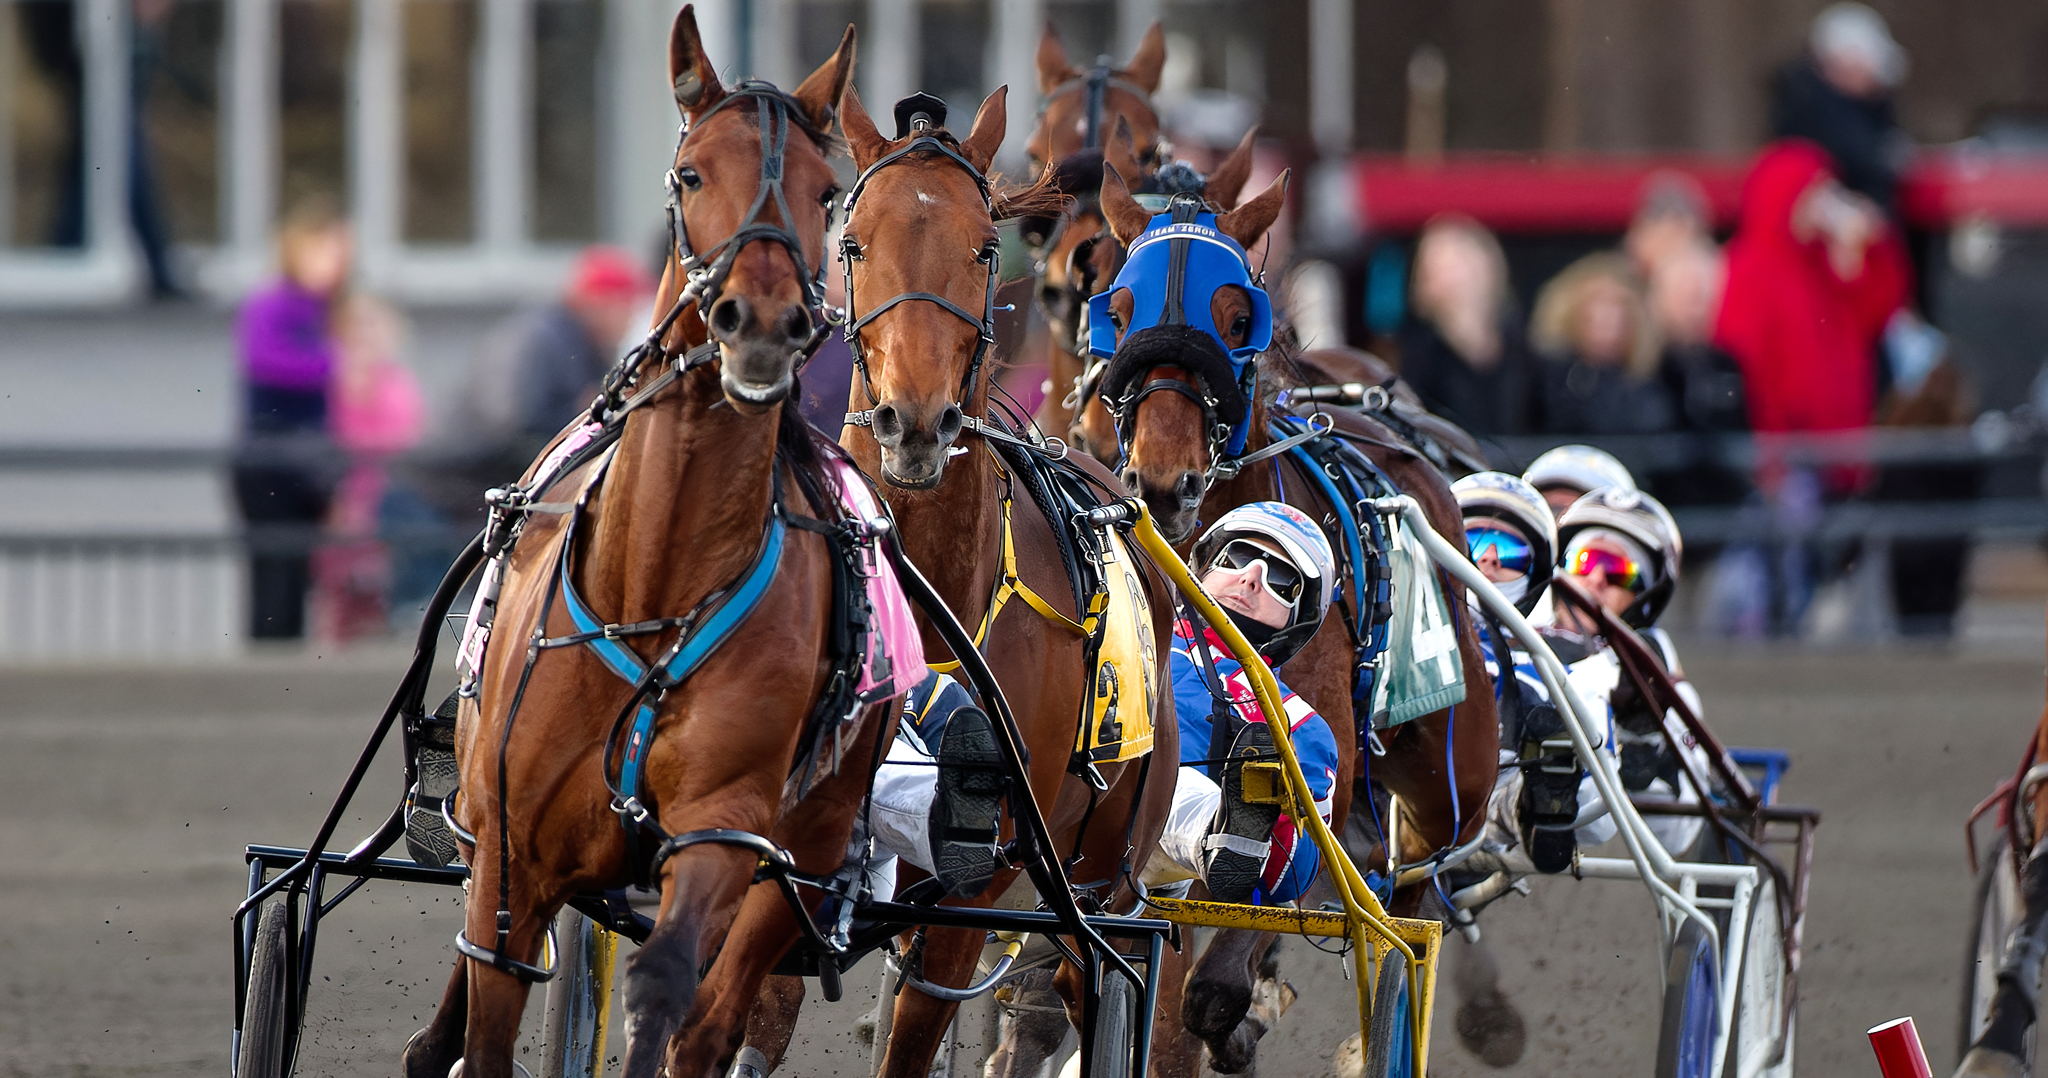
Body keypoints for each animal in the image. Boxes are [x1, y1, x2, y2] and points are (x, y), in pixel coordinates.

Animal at [398, 13, 879, 1078]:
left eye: (828, 191)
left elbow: (669, 989)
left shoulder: (725, 831)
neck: (654, 592)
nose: (764, 323)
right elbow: (487, 1003)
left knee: (720, 1008)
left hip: (806, 860)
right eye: (693, 173)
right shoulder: (514, 850)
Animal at [1089, 163, 1502, 1071]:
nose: (1163, 479)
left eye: (1236, 315)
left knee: (1419, 875)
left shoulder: (1329, 772)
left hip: (1452, 775)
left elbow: (1219, 978)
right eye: (1121, 309)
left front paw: (1241, 1010)